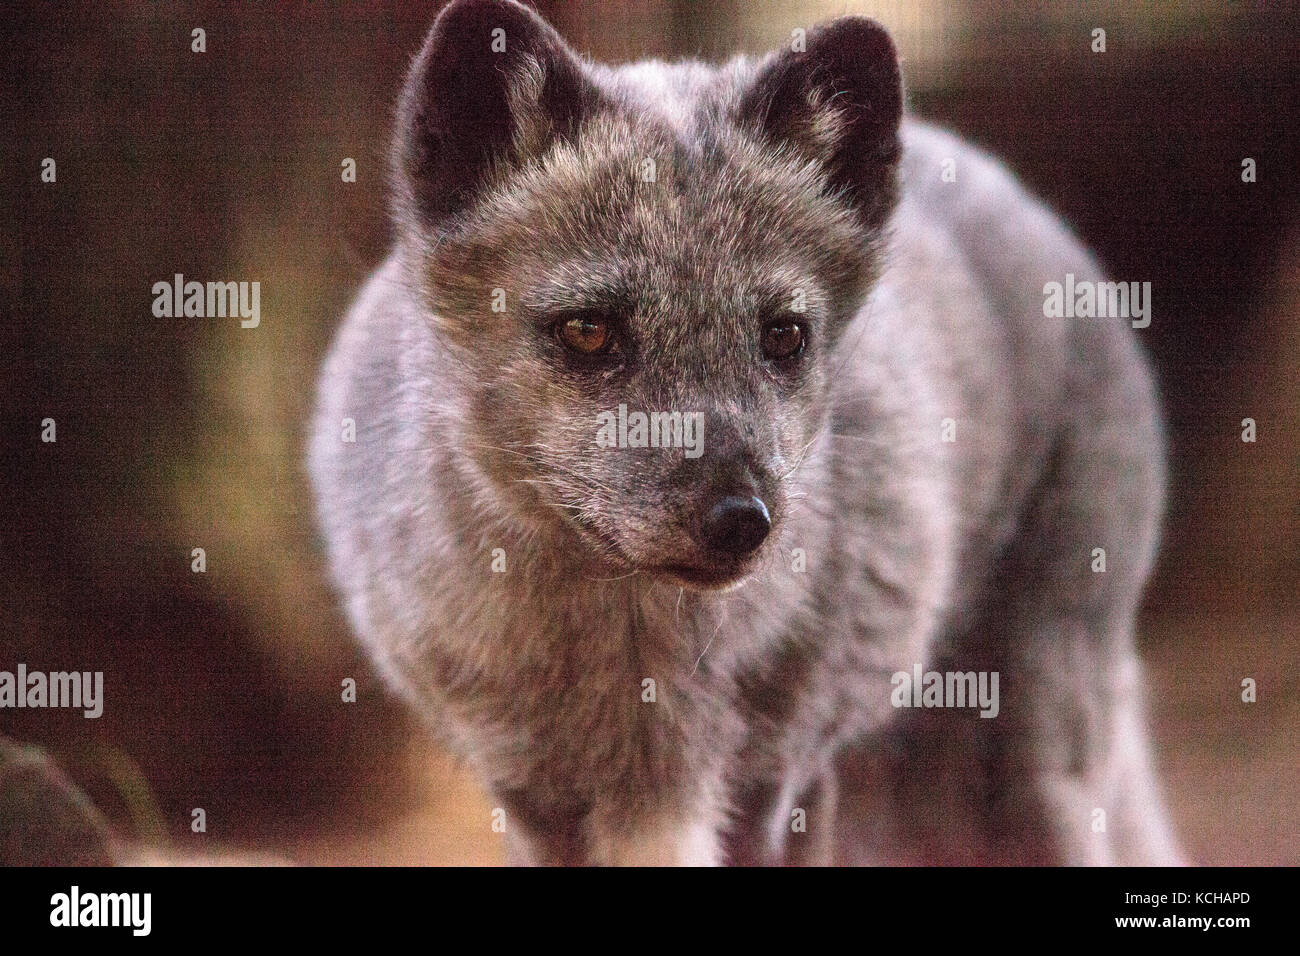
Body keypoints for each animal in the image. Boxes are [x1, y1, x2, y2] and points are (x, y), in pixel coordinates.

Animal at [308, 0, 1182, 865]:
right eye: (588, 332)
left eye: (783, 336)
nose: (739, 522)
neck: (642, 686)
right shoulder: (533, 801)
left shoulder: (775, 786)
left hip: (1018, 769)